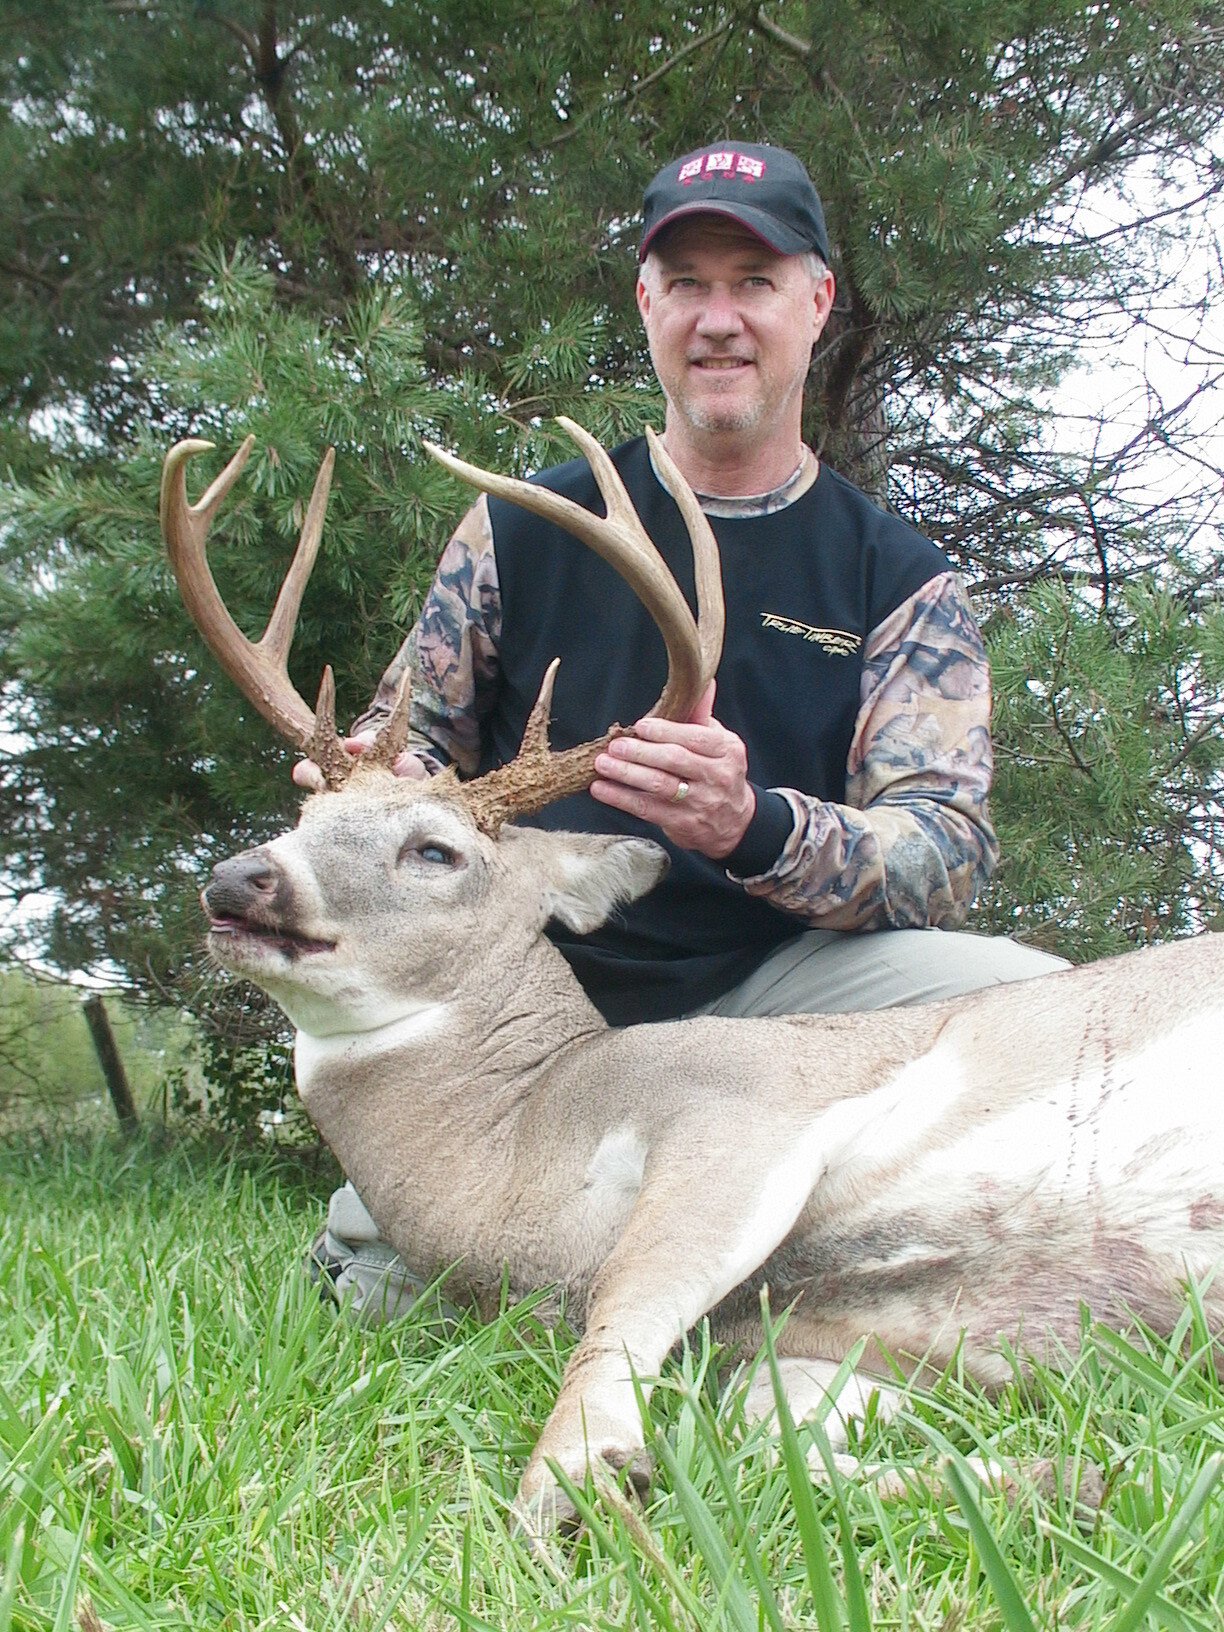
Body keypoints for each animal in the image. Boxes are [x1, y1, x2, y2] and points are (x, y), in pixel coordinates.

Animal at [161, 423, 1224, 1537]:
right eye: (304, 818)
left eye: (434, 850)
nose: (237, 877)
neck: (517, 1151)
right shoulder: (834, 1339)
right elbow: (768, 1433)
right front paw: (1076, 1480)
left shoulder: (744, 1103)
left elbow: (626, 1304)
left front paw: (570, 1480)